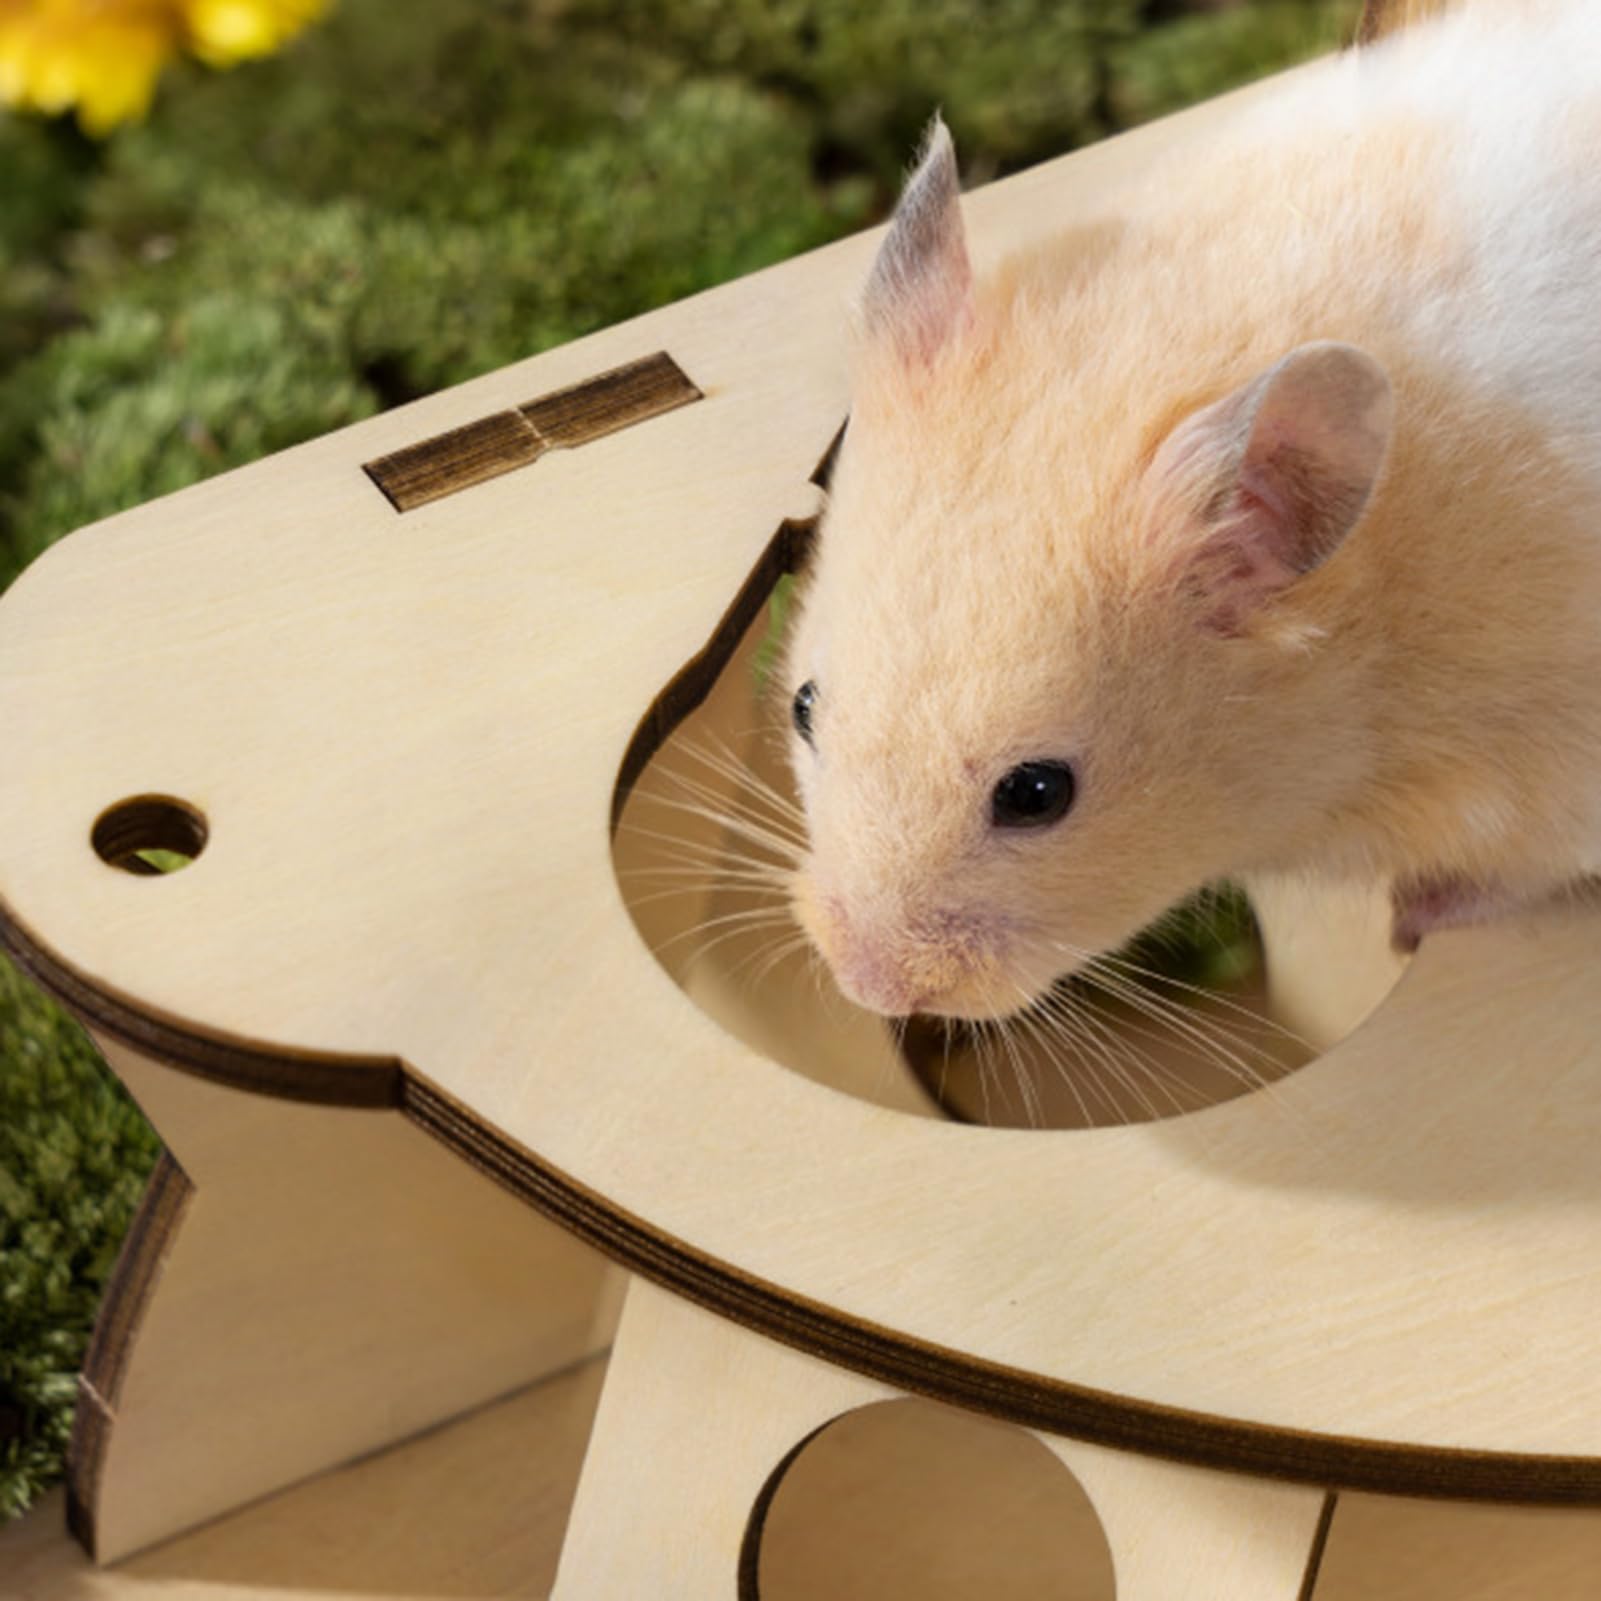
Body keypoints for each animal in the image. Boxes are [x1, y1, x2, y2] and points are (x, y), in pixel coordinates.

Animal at [782, 0, 1601, 1022]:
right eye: (804, 708)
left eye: (1036, 793)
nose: (866, 985)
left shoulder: (1554, 774)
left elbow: (1507, 877)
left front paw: (1408, 920)